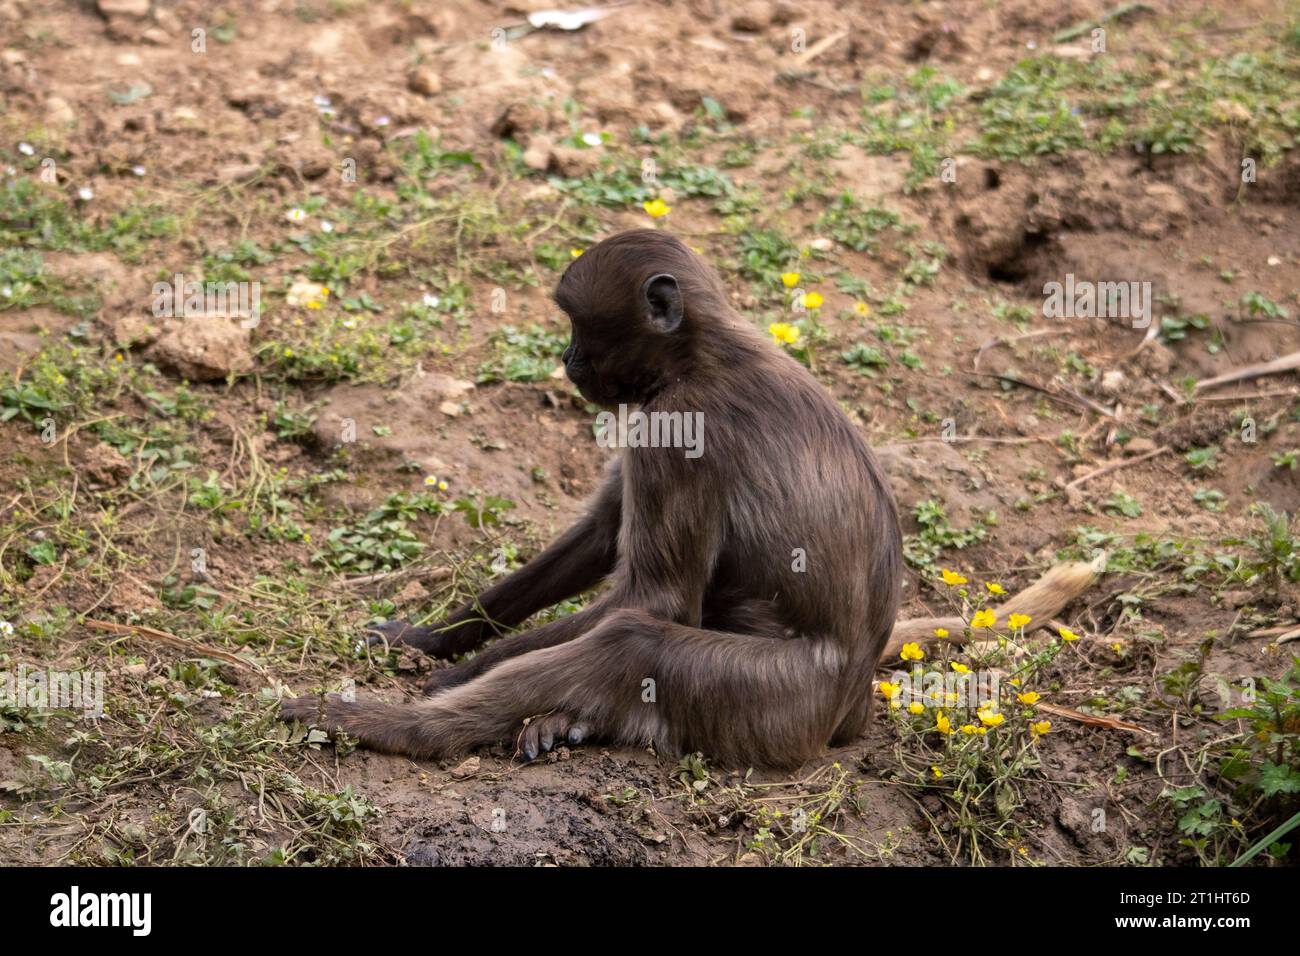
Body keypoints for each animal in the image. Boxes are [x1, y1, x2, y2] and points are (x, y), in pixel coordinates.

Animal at [281, 229, 903, 769]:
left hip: (779, 701)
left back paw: (396, 727)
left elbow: (655, 602)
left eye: (579, 325)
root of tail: (852, 704)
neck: (702, 353)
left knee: (634, 642)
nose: (565, 355)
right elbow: (602, 533)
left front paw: (457, 675)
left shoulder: (675, 427)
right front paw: (428, 639)